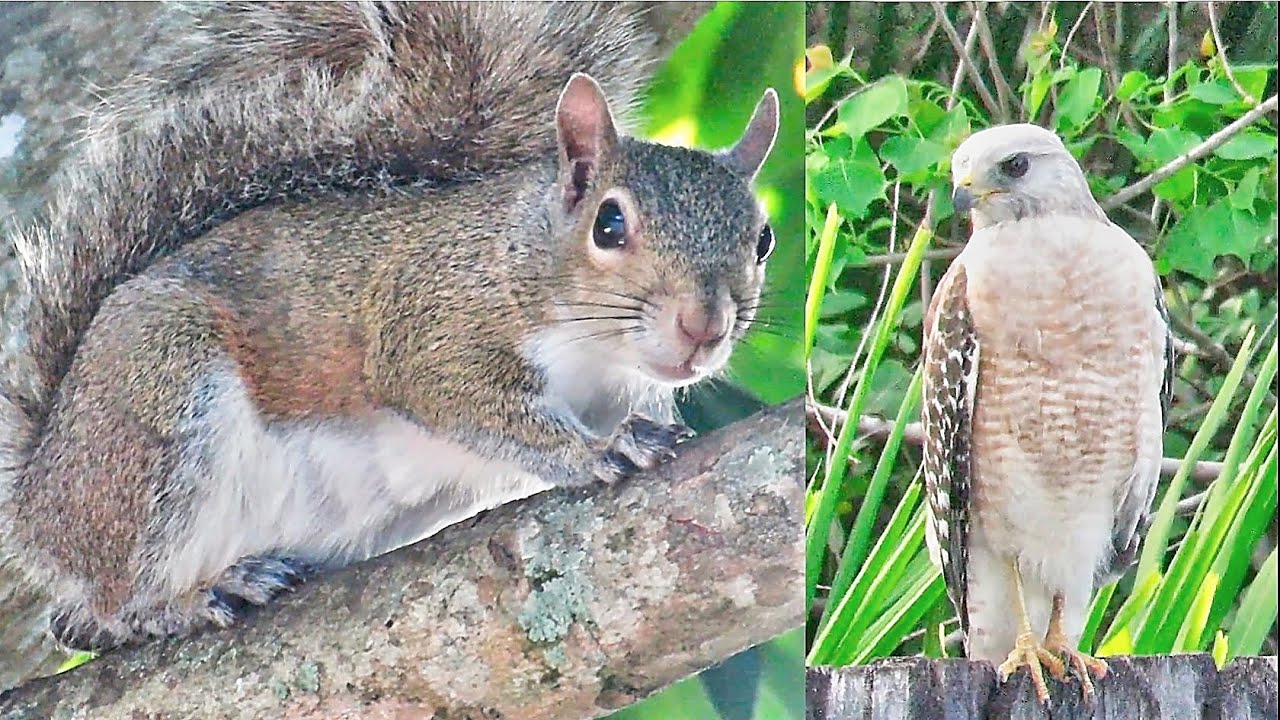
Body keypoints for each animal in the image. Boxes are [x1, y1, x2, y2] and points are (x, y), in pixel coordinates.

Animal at [0, 2, 779, 653]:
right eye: (609, 224)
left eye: (763, 239)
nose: (703, 326)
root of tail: (37, 496)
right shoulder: (431, 320)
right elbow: (460, 396)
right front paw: (598, 449)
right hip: (157, 407)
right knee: (101, 605)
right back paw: (193, 597)